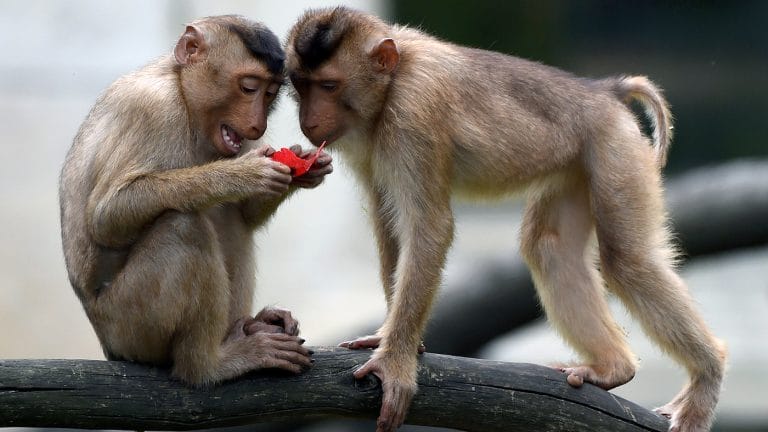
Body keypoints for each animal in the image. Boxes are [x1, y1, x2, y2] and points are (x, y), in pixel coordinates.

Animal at [59, 15, 333, 386]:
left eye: (270, 94)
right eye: (249, 87)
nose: (258, 125)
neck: (183, 92)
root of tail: (108, 345)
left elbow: (245, 214)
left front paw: (305, 167)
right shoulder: (154, 108)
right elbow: (105, 217)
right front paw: (241, 175)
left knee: (229, 217)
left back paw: (247, 327)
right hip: (129, 325)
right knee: (184, 226)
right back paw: (209, 364)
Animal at [284, 7, 727, 432]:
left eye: (328, 86)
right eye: (301, 86)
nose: (308, 121)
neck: (392, 80)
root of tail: (603, 90)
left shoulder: (414, 110)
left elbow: (428, 228)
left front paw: (395, 362)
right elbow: (389, 222)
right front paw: (393, 340)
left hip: (614, 146)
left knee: (627, 261)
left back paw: (708, 372)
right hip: (576, 164)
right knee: (549, 246)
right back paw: (613, 368)